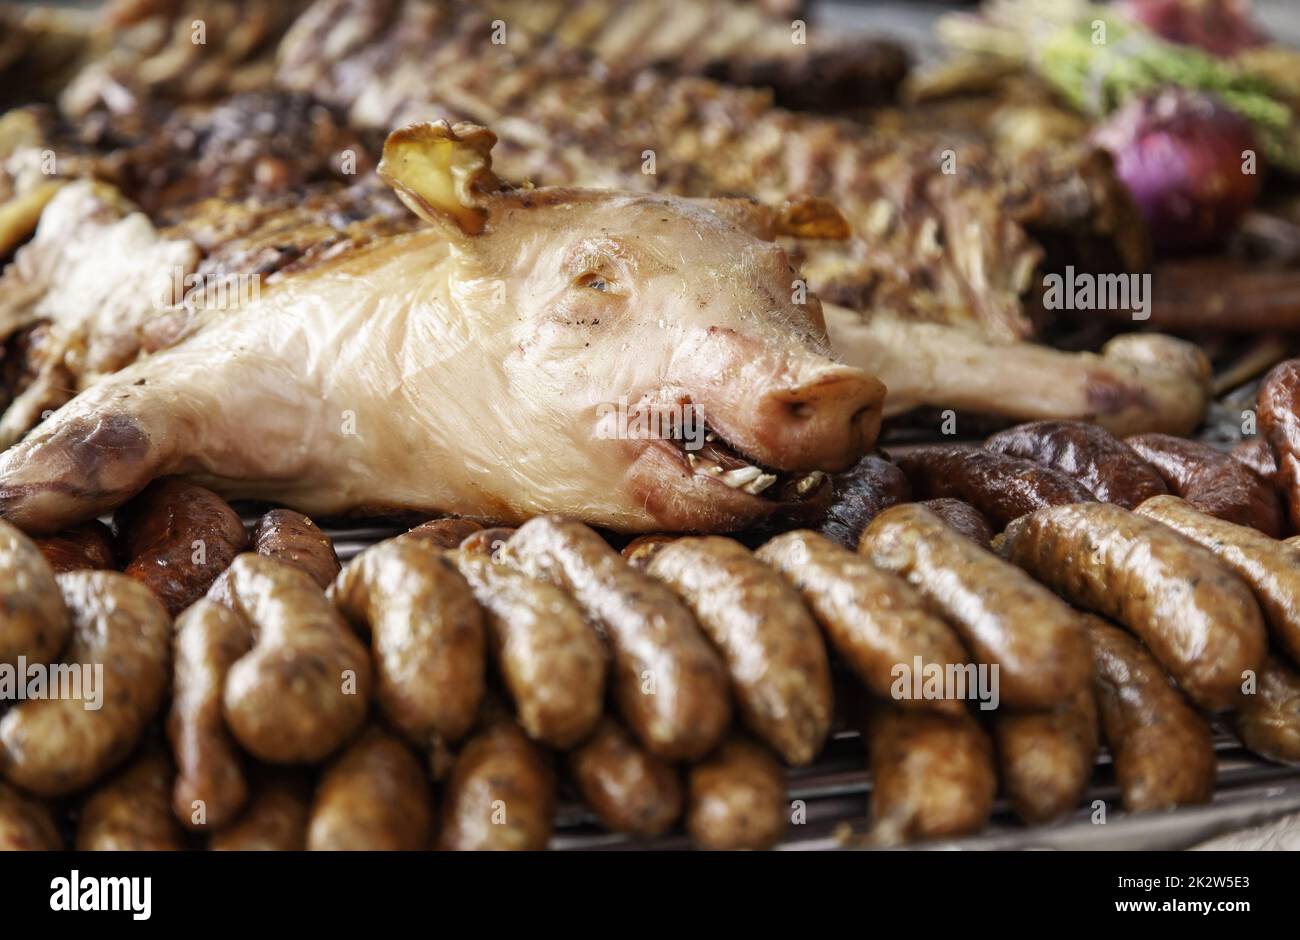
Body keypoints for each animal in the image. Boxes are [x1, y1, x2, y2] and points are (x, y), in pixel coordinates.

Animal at [0, 121, 884, 535]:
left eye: (793, 280)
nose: (837, 384)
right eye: (594, 278)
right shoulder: (262, 342)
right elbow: (109, 427)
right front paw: (13, 486)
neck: (420, 471)